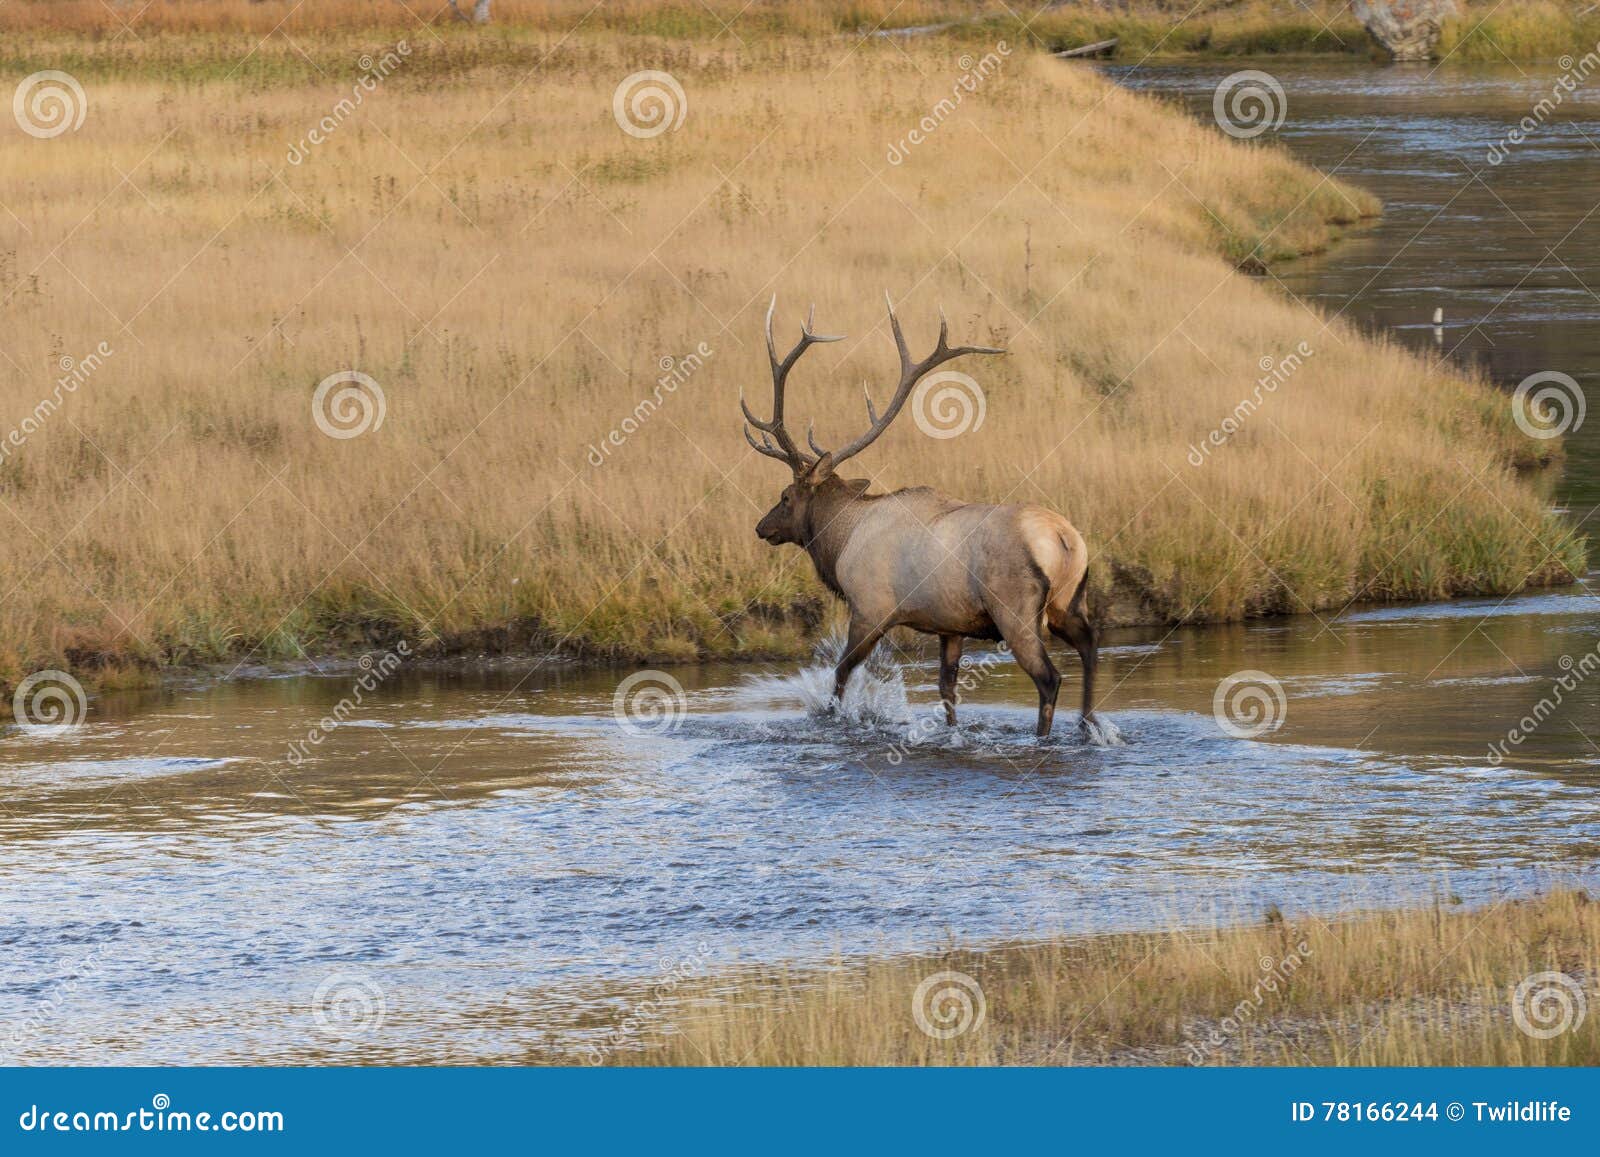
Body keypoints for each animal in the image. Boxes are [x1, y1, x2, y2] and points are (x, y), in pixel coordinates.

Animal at [742, 295, 1100, 739]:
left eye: (786, 496)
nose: (762, 527)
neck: (840, 540)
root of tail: (1064, 539)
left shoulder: (871, 608)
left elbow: (841, 674)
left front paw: (834, 718)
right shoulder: (950, 625)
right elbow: (946, 688)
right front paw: (951, 730)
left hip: (1015, 609)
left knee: (1049, 677)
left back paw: (1044, 737)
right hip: (1069, 601)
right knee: (1090, 648)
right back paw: (1087, 725)